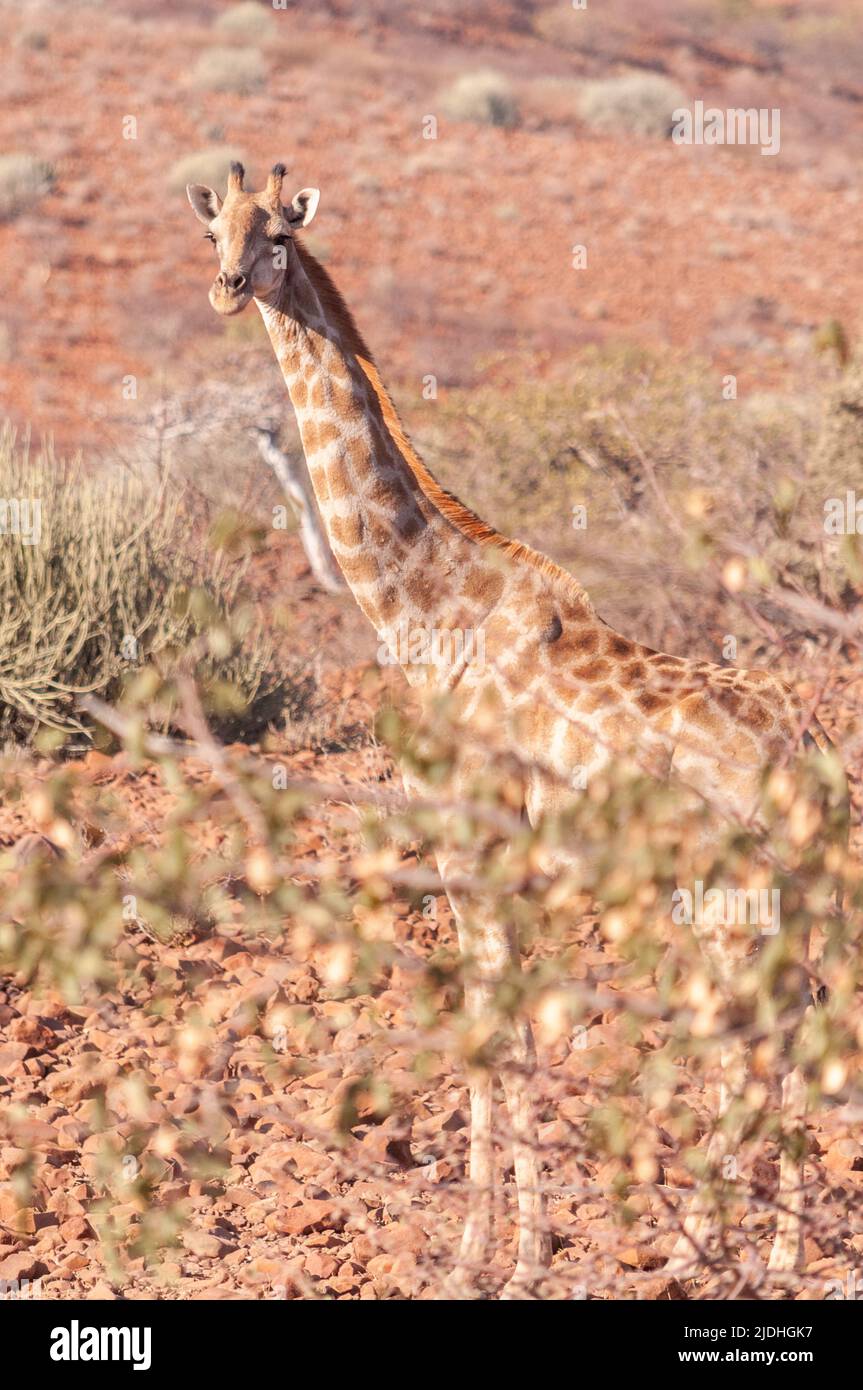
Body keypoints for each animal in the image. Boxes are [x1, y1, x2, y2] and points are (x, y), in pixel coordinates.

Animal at [186, 162, 848, 1297]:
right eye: (214, 227)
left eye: (278, 235)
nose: (230, 286)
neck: (415, 602)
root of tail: (805, 751)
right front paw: (507, 1246)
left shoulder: (469, 839)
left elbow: (493, 1028)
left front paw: (492, 1256)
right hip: (763, 903)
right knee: (779, 1034)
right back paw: (766, 1255)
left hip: (727, 902)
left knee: (750, 1045)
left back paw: (696, 1255)